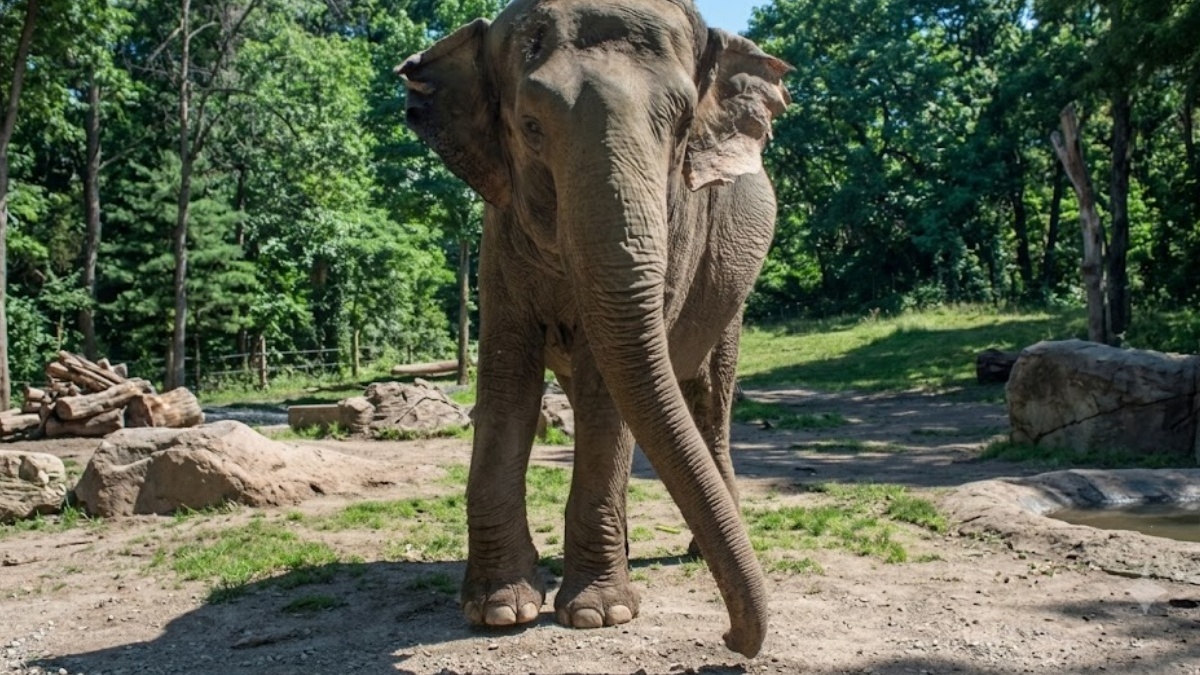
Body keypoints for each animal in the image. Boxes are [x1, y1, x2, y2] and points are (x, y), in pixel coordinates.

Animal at [397, 0, 790, 658]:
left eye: (683, 123)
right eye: (530, 126)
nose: (732, 639)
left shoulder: (680, 231)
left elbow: (608, 393)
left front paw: (597, 615)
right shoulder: (498, 236)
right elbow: (507, 384)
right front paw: (500, 610)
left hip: (733, 289)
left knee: (709, 396)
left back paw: (691, 553)